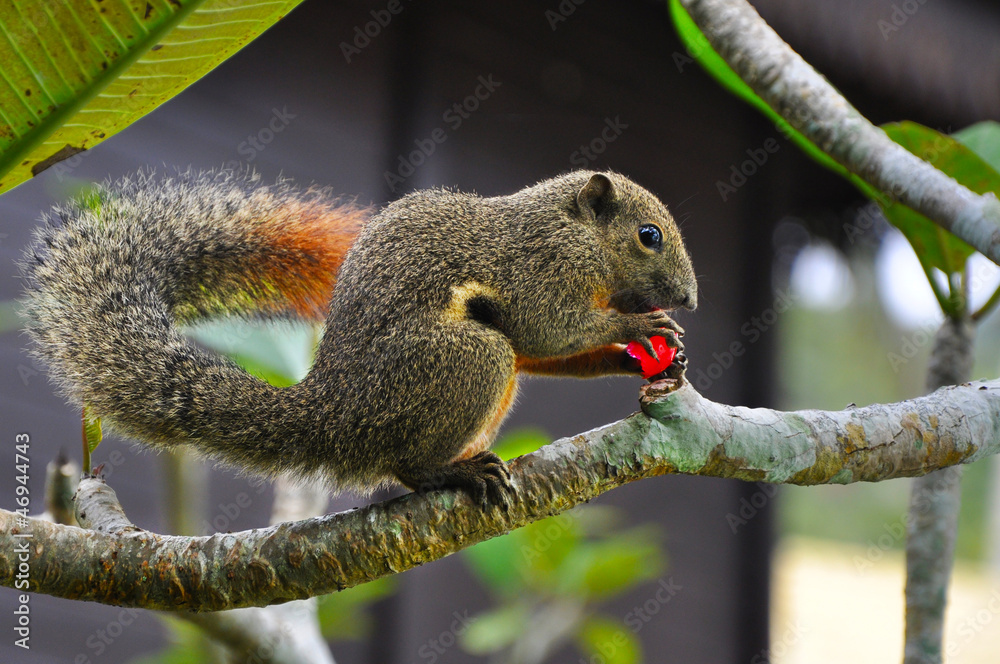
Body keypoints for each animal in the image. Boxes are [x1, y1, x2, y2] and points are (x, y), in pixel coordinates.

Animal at [21, 169, 696, 506]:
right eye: (649, 235)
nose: (689, 298)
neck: (570, 231)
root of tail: (336, 412)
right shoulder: (539, 270)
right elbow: (546, 327)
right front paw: (639, 327)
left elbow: (547, 352)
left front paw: (646, 359)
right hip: (468, 361)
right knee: (405, 463)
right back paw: (454, 474)